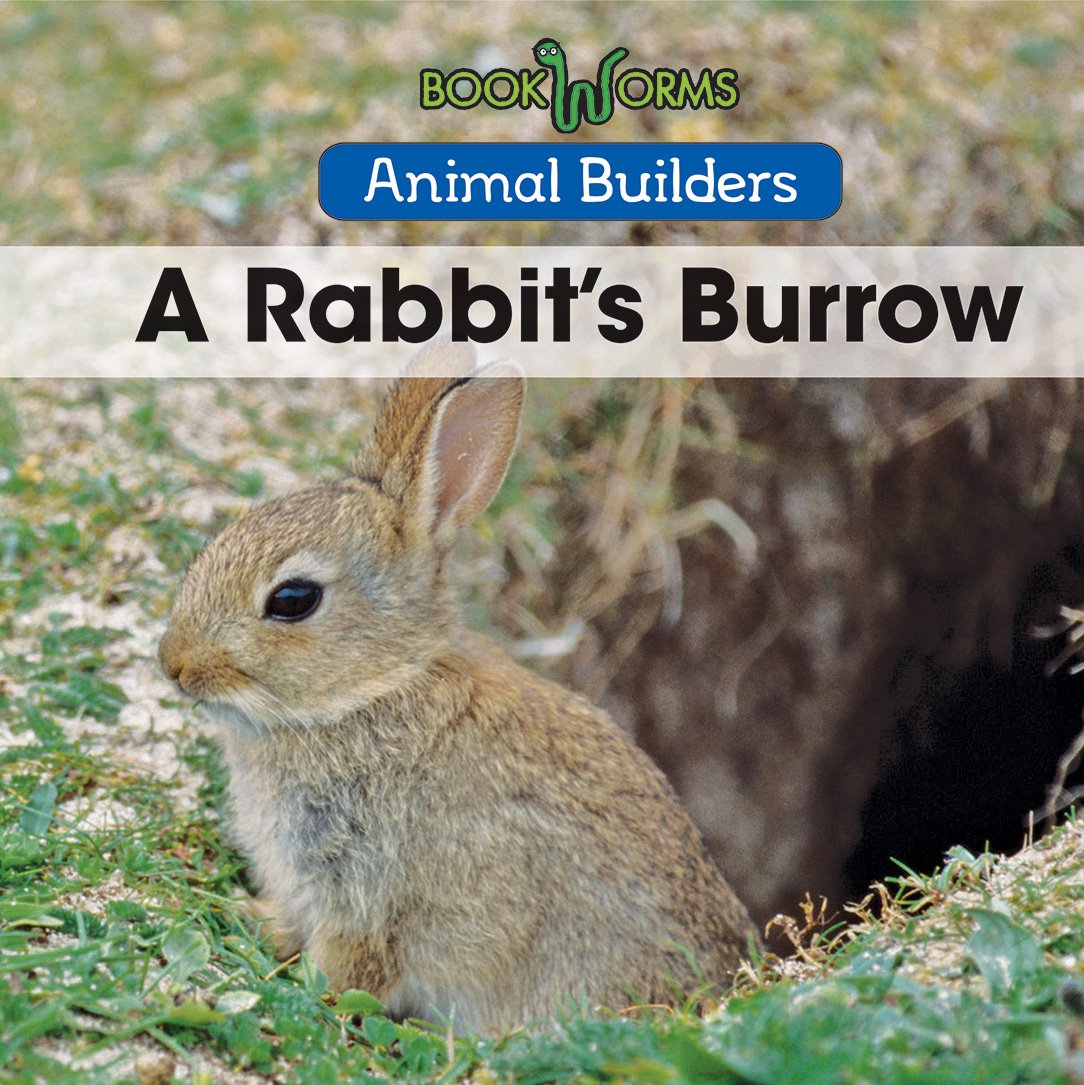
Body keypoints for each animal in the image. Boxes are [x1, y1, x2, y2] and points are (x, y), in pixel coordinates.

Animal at [158, 344, 759, 1032]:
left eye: (293, 599)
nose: (174, 663)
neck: (375, 687)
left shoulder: (365, 890)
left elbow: (351, 966)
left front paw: (309, 984)